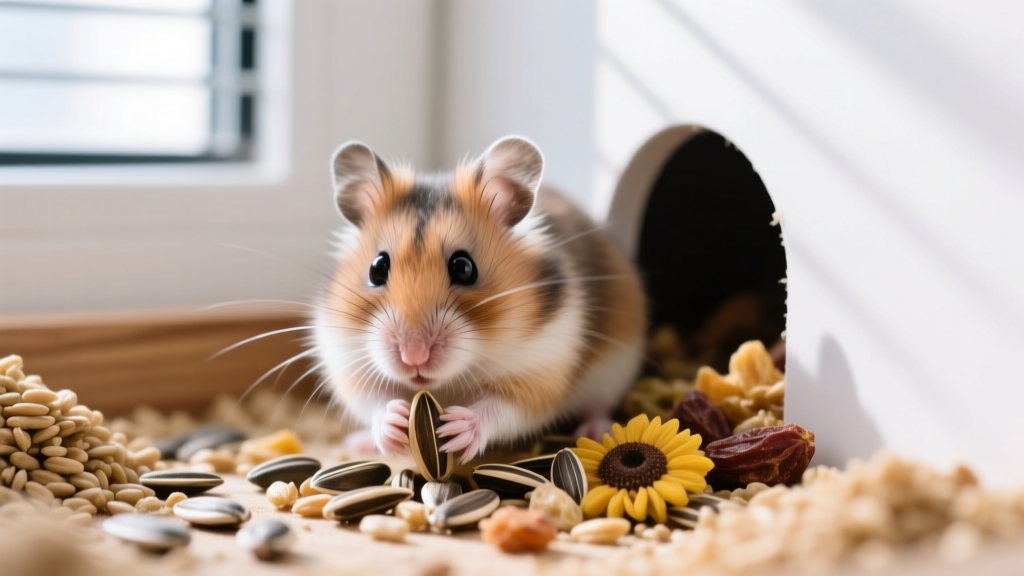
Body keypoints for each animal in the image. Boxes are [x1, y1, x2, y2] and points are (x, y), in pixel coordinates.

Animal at [312, 136, 646, 464]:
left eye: (464, 267)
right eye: (377, 268)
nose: (413, 357)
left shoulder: (543, 367)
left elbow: (506, 407)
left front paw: (456, 431)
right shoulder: (346, 361)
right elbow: (372, 399)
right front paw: (393, 421)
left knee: (598, 407)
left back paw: (597, 431)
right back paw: (359, 443)